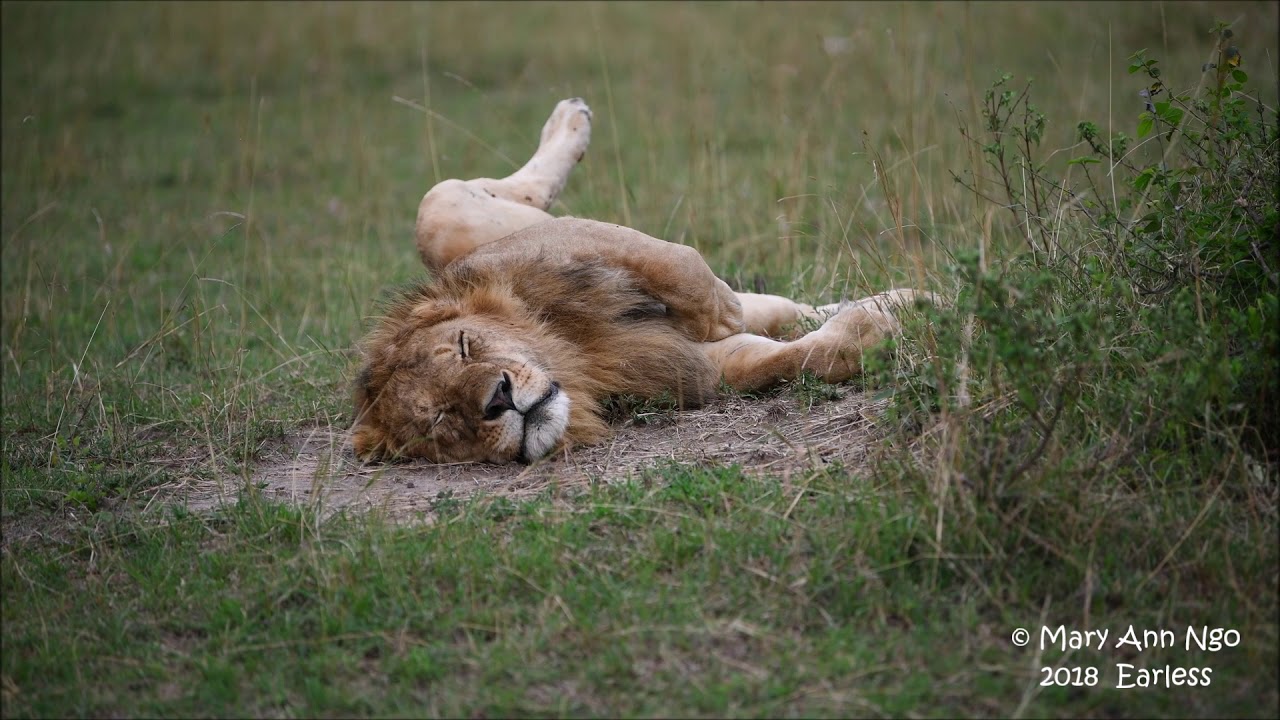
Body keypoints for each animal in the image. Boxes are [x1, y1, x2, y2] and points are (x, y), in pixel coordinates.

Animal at [353, 98, 932, 464]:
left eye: (465, 345)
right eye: (440, 421)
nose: (498, 400)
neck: (571, 355)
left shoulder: (578, 242)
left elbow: (686, 271)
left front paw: (720, 309)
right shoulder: (696, 366)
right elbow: (797, 356)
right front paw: (885, 324)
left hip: (458, 225)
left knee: (446, 197)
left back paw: (570, 118)